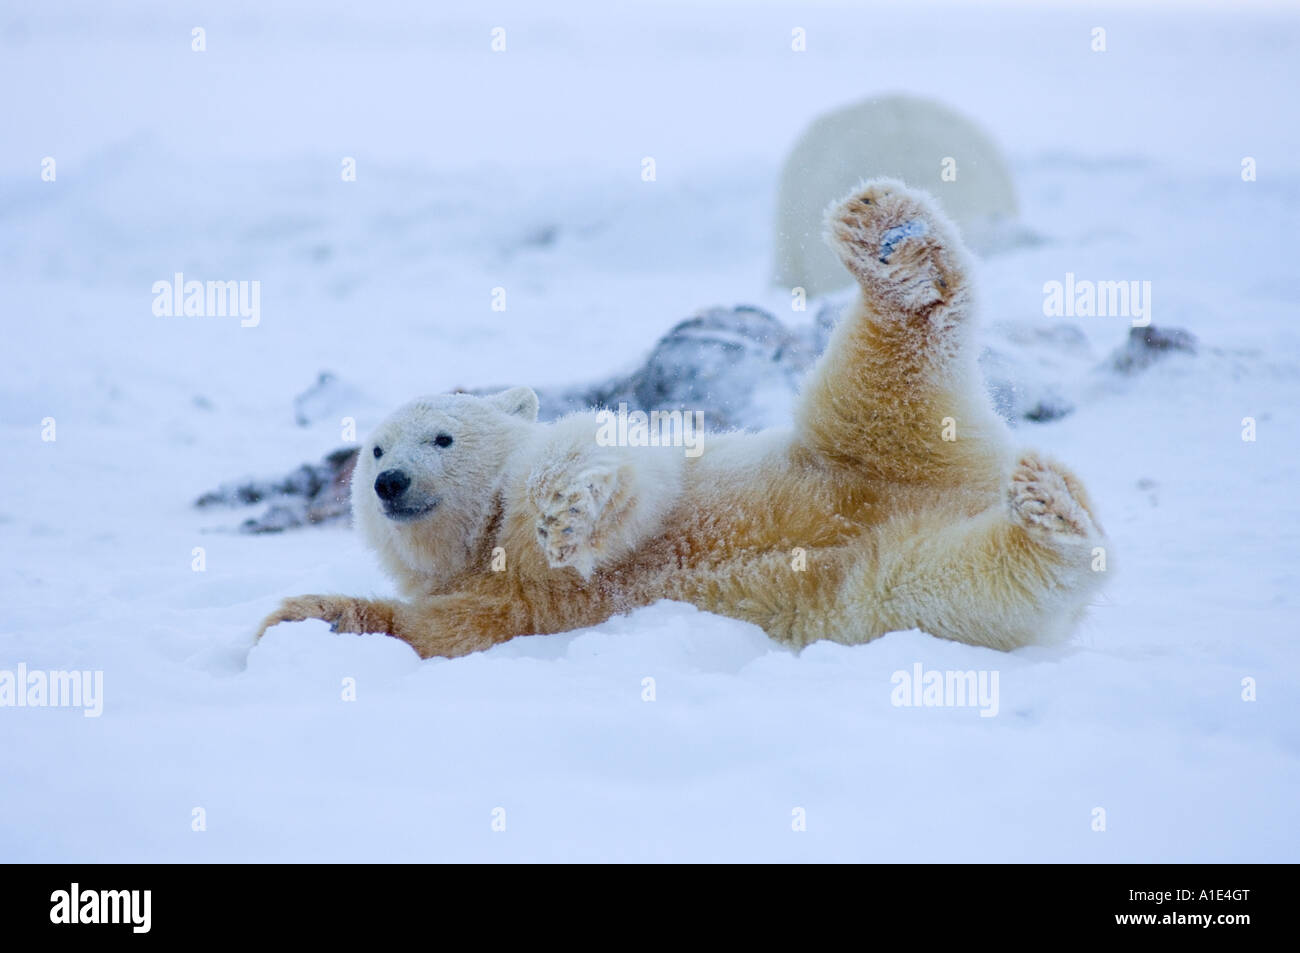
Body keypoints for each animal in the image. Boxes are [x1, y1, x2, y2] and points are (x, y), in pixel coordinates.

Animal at [258, 179, 1108, 658]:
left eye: (442, 435)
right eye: (374, 451)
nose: (393, 482)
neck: (485, 542)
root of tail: (967, 483)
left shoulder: (602, 472)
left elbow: (615, 462)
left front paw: (566, 516)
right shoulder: (491, 606)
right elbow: (431, 629)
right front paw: (301, 619)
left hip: (852, 441)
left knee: (885, 373)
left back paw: (895, 247)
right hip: (885, 582)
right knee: (973, 578)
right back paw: (1050, 517)